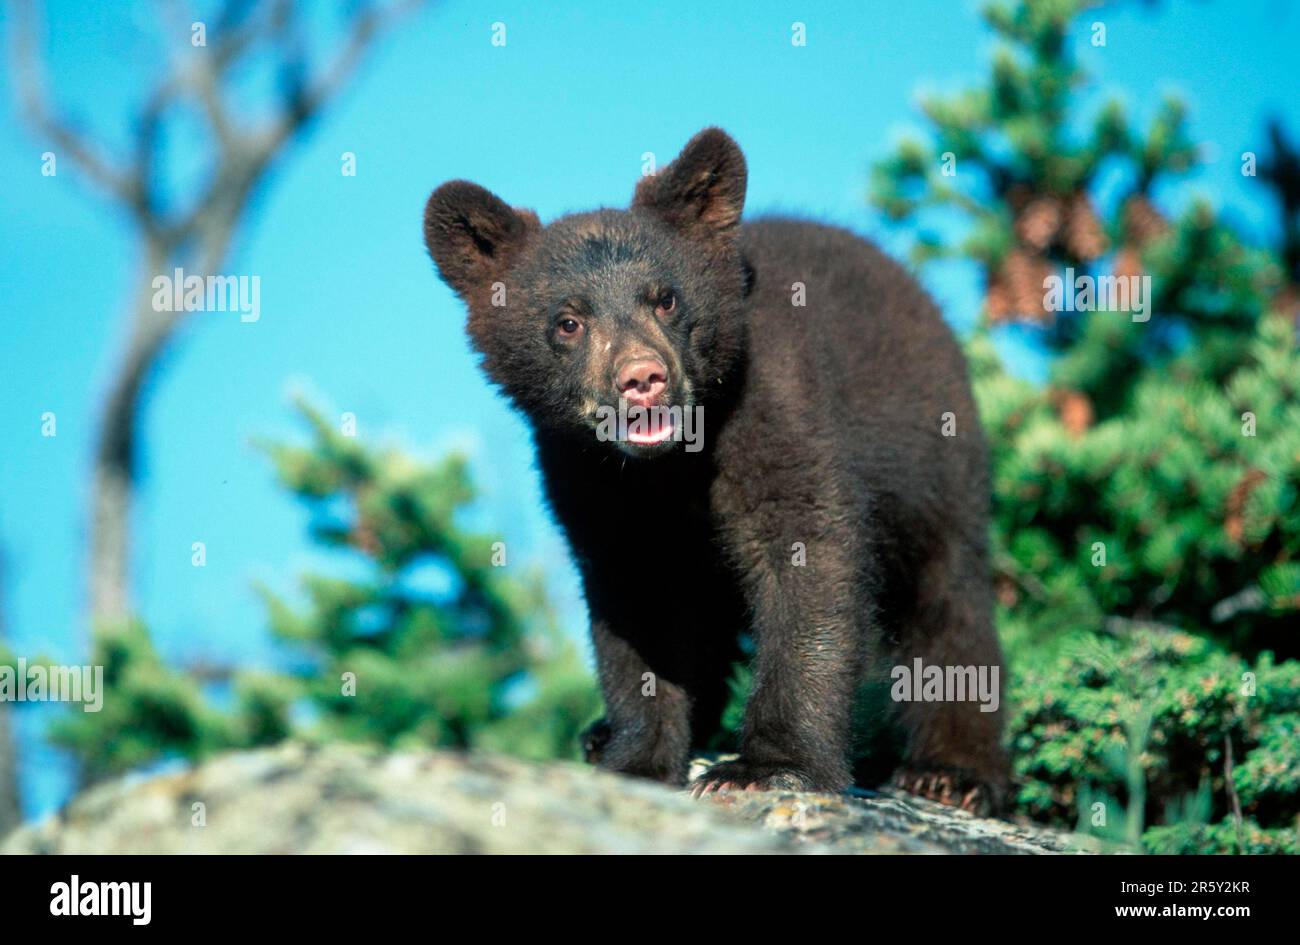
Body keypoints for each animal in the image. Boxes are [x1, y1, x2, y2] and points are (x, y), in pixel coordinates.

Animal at [422, 128, 1009, 813]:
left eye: (666, 298)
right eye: (568, 321)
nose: (643, 378)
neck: (669, 470)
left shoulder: (775, 416)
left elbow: (808, 566)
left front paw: (766, 767)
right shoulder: (587, 482)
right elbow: (637, 609)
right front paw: (637, 757)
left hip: (937, 467)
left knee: (949, 602)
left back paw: (952, 772)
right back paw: (601, 734)